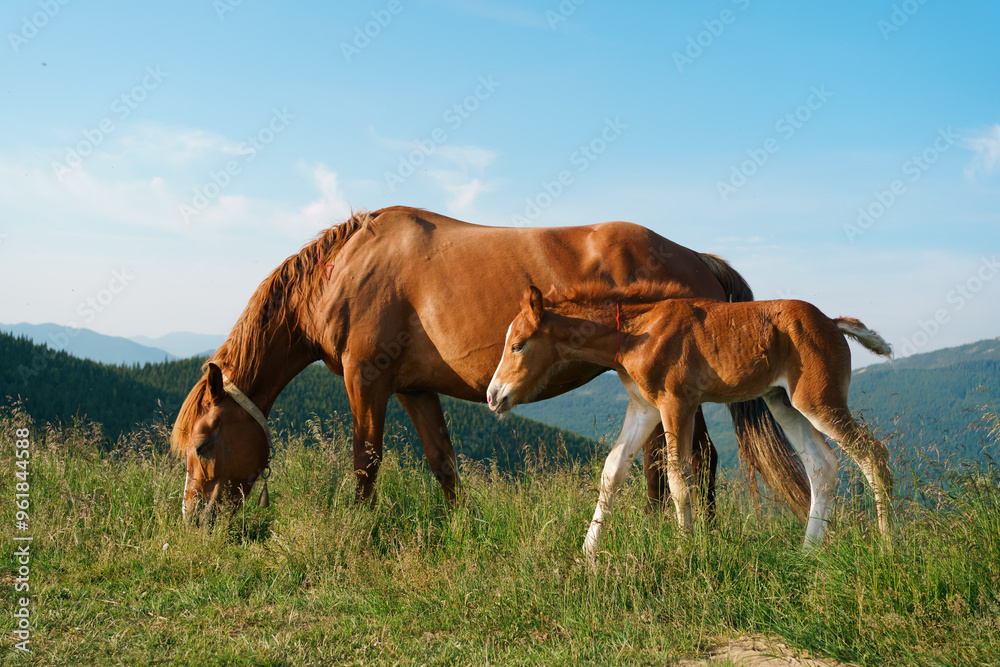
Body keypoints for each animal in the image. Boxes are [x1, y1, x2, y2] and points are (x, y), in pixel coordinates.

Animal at [171, 207, 810, 522]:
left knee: (690, 461)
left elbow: (365, 460)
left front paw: (358, 530)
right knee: (678, 462)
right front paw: (461, 527)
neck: (347, 267)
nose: (193, 518)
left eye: (205, 442)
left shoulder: (367, 376)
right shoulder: (413, 389)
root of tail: (698, 257)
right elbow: (442, 462)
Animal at [487, 284, 893, 558]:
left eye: (518, 344)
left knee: (872, 454)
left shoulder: (677, 403)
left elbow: (678, 477)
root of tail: (832, 322)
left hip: (819, 400)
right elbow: (612, 471)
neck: (635, 334)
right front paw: (587, 556)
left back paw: (887, 545)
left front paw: (686, 553)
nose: (493, 395)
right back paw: (808, 552)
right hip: (784, 402)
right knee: (822, 464)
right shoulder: (643, 407)